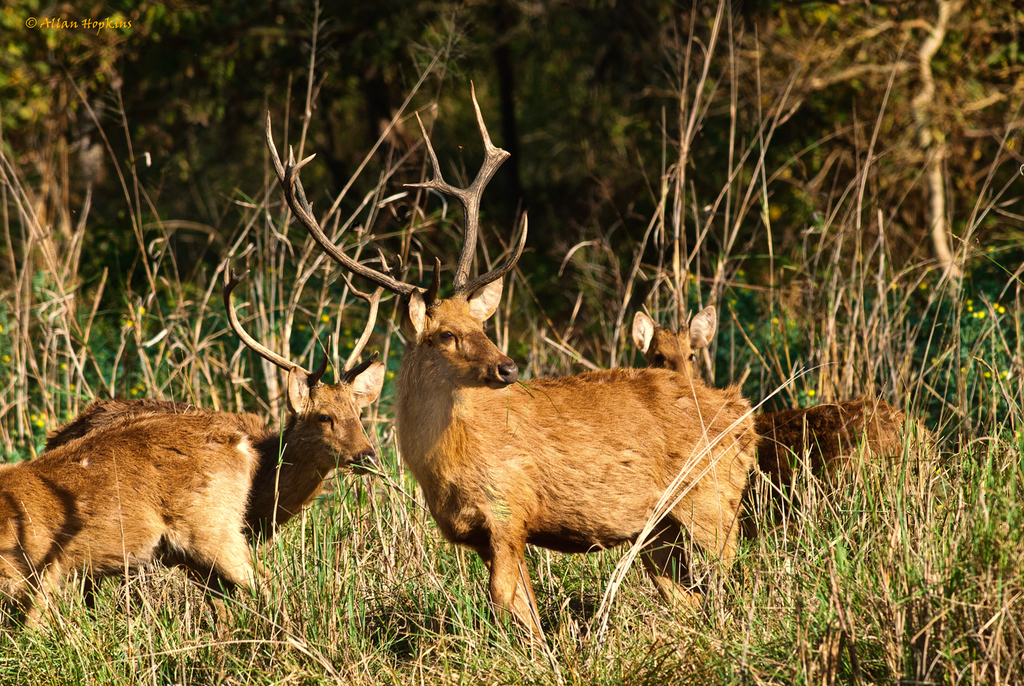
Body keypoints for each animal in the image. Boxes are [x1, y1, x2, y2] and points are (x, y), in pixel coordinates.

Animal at [266, 85, 759, 638]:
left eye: (481, 327)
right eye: (446, 335)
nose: (508, 367)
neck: (445, 464)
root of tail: (743, 414)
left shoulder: (508, 510)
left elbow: (509, 603)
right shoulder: (479, 535)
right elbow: (520, 606)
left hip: (713, 500)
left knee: (737, 579)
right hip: (659, 532)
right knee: (687, 597)